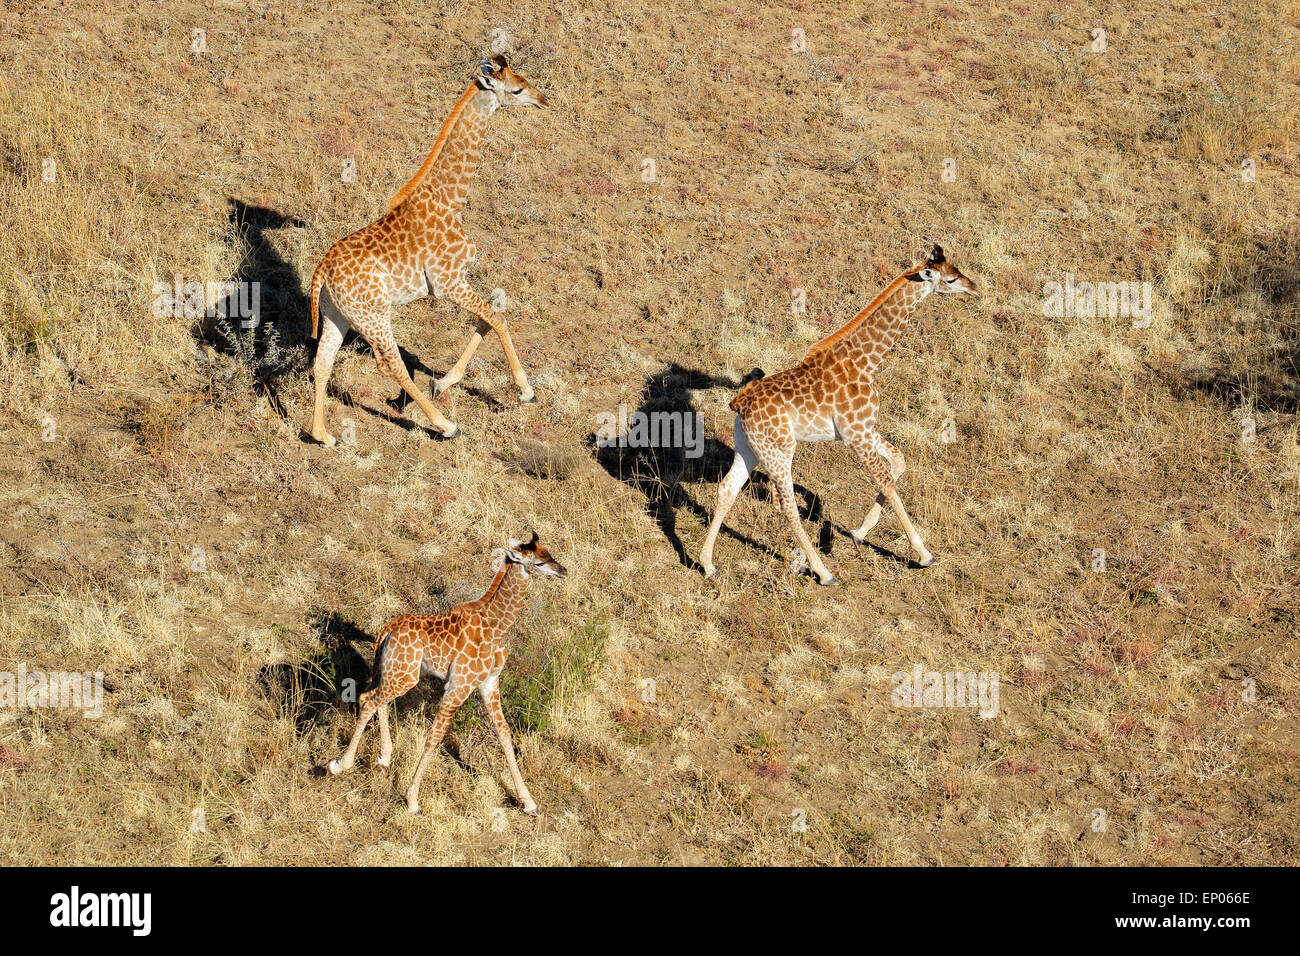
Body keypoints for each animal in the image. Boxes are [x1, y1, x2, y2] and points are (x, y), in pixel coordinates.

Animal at [307, 54, 548, 446]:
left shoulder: (456, 282)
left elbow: (487, 318)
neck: (451, 200)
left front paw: (444, 382)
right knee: (390, 364)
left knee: (322, 362)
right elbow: (497, 318)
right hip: (376, 316)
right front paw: (525, 390)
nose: (543, 100)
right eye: (516, 89)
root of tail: (321, 274)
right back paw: (445, 425)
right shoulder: (448, 282)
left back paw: (322, 435)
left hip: (338, 315)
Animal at [327, 533, 567, 816]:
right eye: (539, 562)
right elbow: (435, 735)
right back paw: (340, 765)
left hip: (399, 672)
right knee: (367, 699)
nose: (563, 570)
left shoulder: (489, 683)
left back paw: (385, 757)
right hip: (404, 675)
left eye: (549, 553)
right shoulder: (458, 685)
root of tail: (388, 629)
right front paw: (412, 800)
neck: (496, 627)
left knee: (377, 700)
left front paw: (529, 802)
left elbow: (504, 733)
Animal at [698, 245, 978, 586]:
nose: (974, 288)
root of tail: (739, 403)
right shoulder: (856, 433)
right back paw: (823, 571)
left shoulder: (861, 429)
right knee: (786, 504)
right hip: (780, 450)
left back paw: (708, 564)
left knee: (729, 488)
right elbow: (887, 481)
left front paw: (859, 531)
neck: (866, 361)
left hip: (749, 448)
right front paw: (924, 554)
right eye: (950, 279)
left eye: (957, 270)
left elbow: (899, 461)